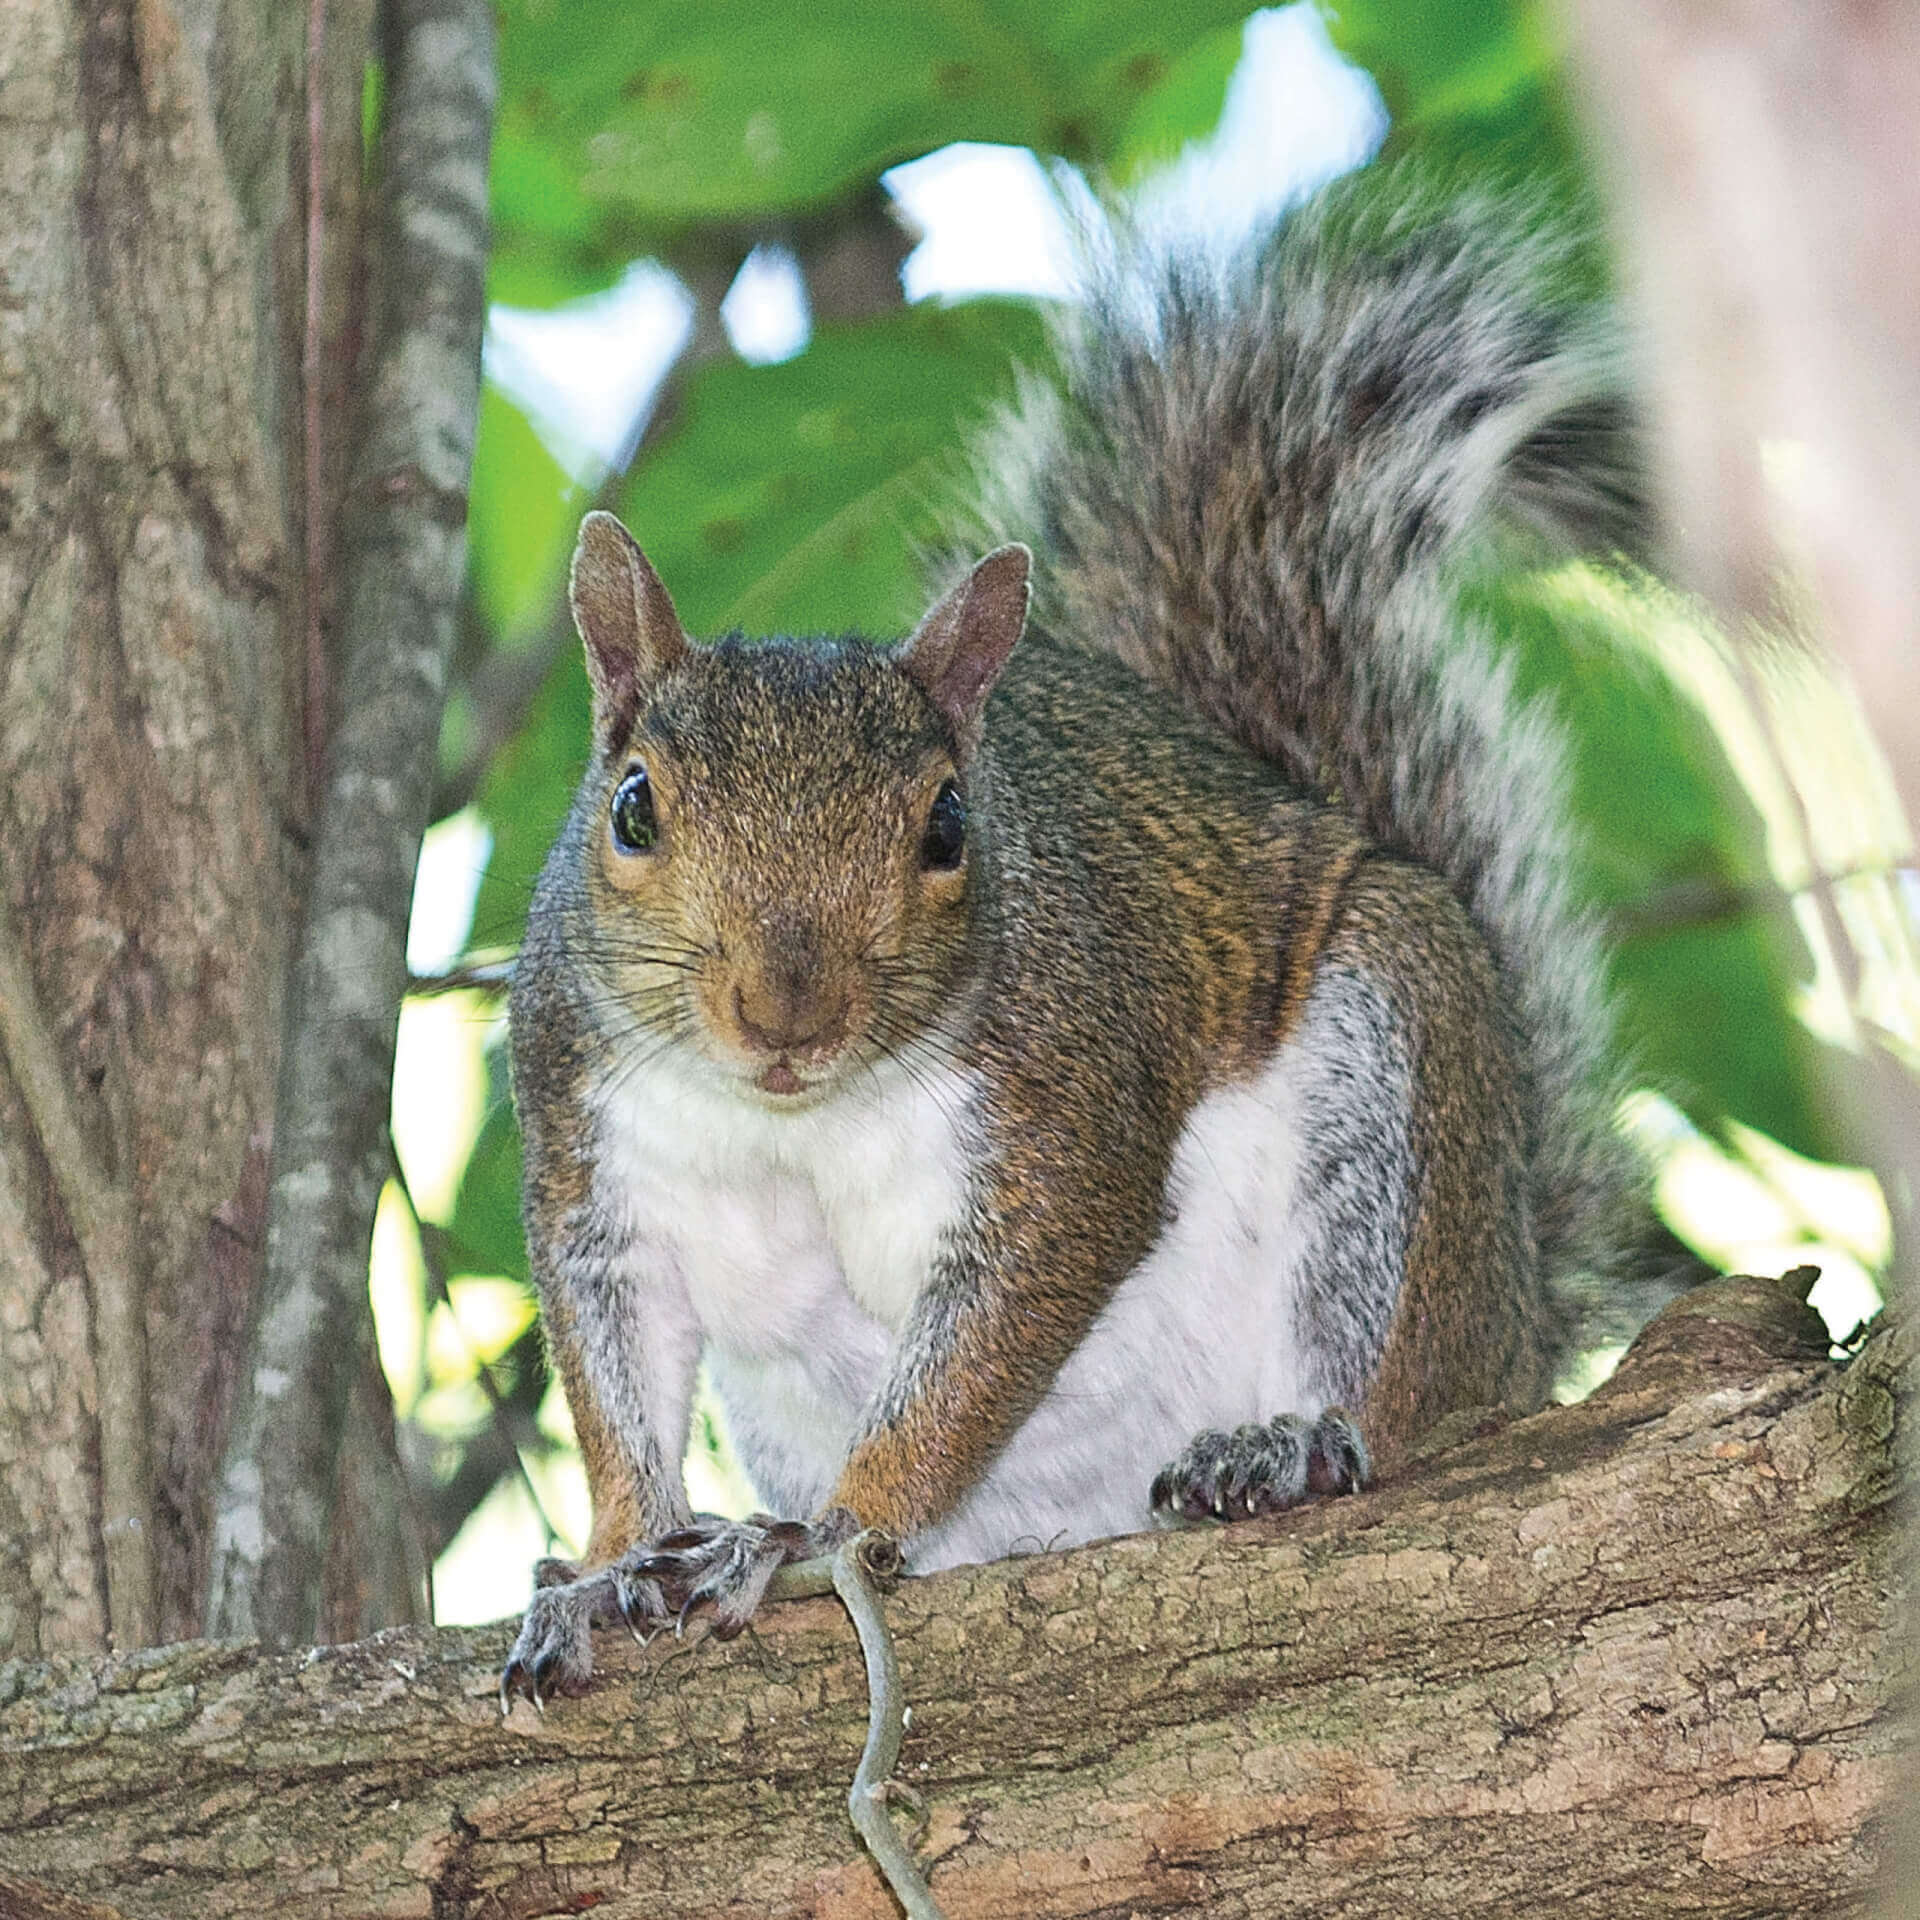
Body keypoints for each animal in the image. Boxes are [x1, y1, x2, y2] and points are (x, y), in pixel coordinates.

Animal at [500, 165, 1660, 1707]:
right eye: (632, 807)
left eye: (948, 825)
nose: (786, 1010)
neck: (793, 1118)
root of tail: (1523, 1303)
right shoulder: (588, 1153)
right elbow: (615, 1373)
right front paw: (605, 1567)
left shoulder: (1068, 1113)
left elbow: (985, 1349)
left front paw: (826, 1531)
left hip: (1397, 1073)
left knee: (1414, 1391)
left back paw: (1300, 1444)